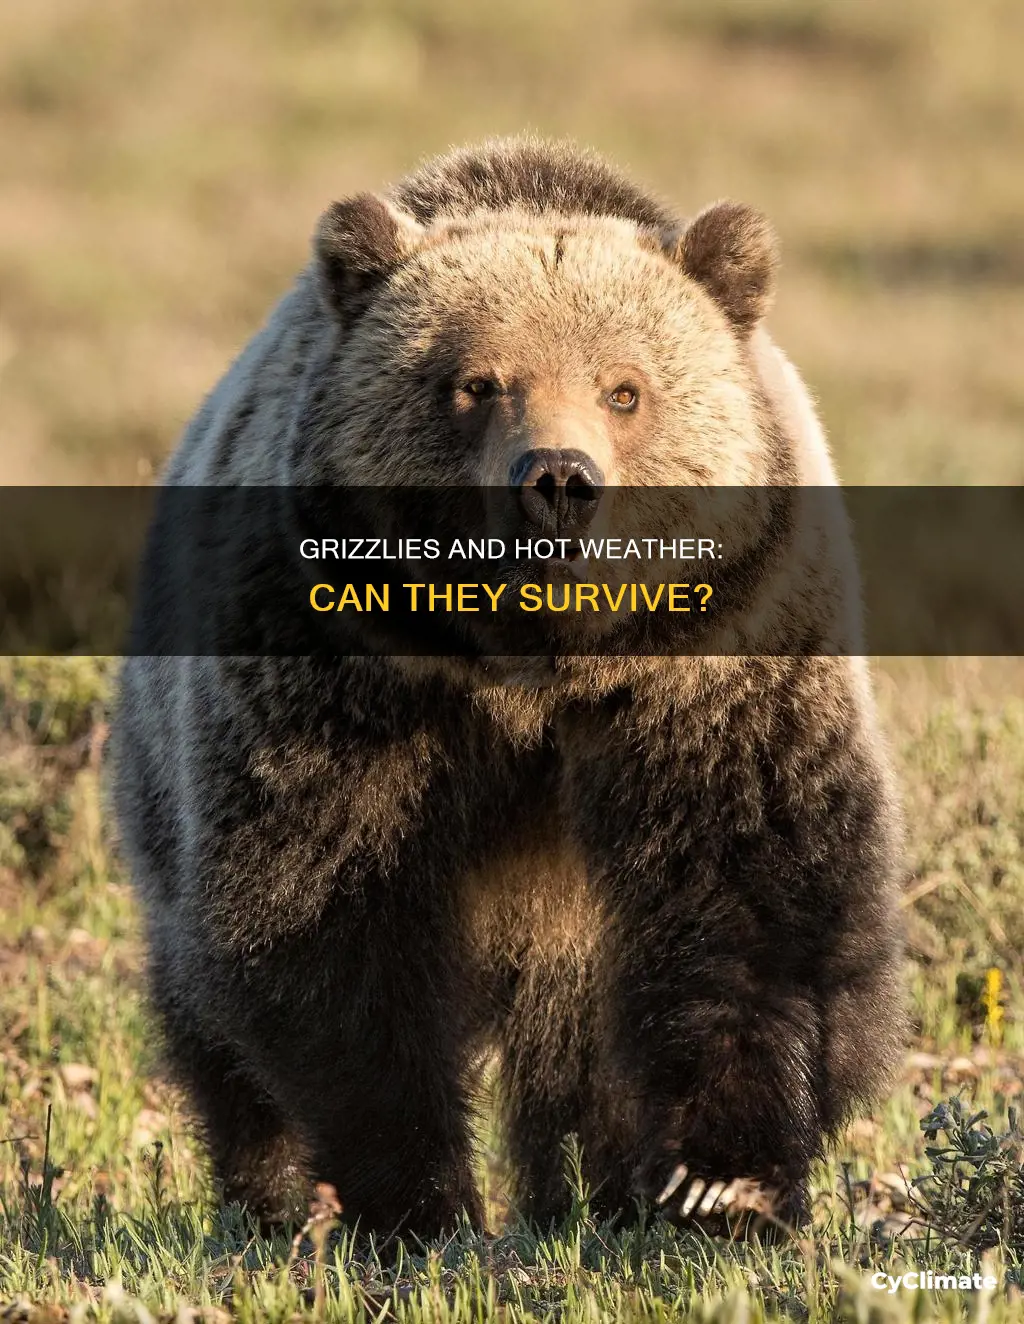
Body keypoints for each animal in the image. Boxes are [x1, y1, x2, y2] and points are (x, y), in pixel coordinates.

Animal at [110, 136, 905, 1240]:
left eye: (624, 389)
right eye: (476, 383)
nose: (557, 481)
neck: (530, 669)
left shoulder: (717, 670)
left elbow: (756, 880)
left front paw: (720, 1181)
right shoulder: (337, 680)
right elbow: (328, 920)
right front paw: (415, 1203)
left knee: (580, 1043)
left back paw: (595, 1193)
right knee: (213, 1027)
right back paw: (270, 1200)